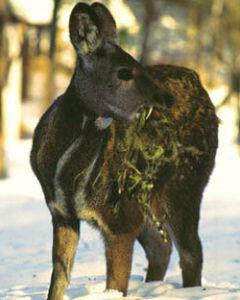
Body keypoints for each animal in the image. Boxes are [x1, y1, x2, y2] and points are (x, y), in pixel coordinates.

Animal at [30, 2, 218, 300]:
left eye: (139, 64)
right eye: (124, 72)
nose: (167, 99)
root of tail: (201, 85)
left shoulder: (118, 219)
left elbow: (115, 286)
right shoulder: (61, 214)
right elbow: (58, 280)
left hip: (186, 184)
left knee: (190, 250)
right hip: (146, 198)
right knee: (161, 248)